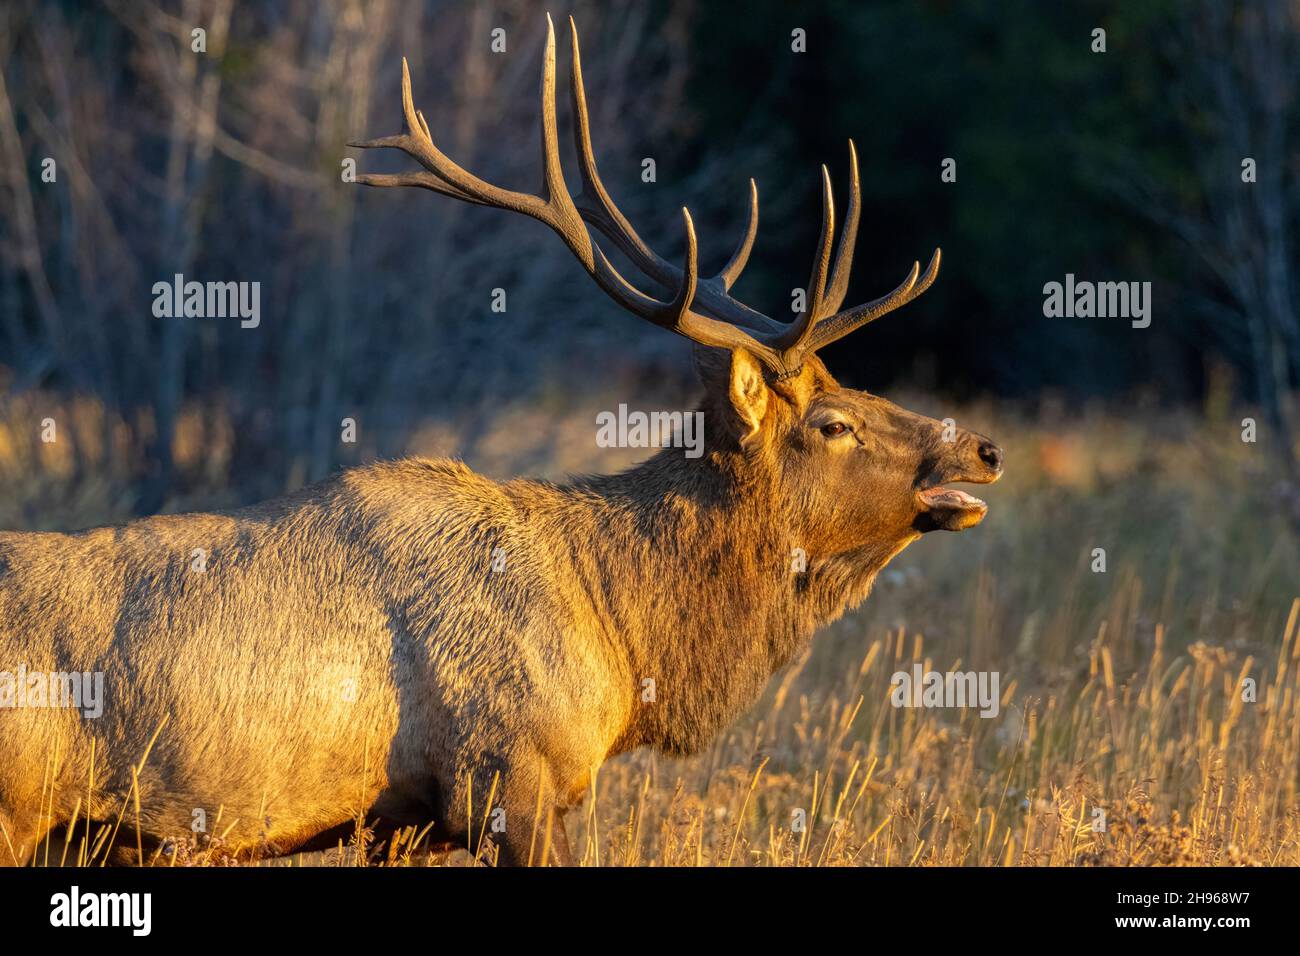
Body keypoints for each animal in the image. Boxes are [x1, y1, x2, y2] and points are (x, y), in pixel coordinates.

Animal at [0, 16, 1001, 867]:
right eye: (833, 424)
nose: (983, 451)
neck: (620, 632)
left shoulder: (402, 822)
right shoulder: (508, 776)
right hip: (18, 809)